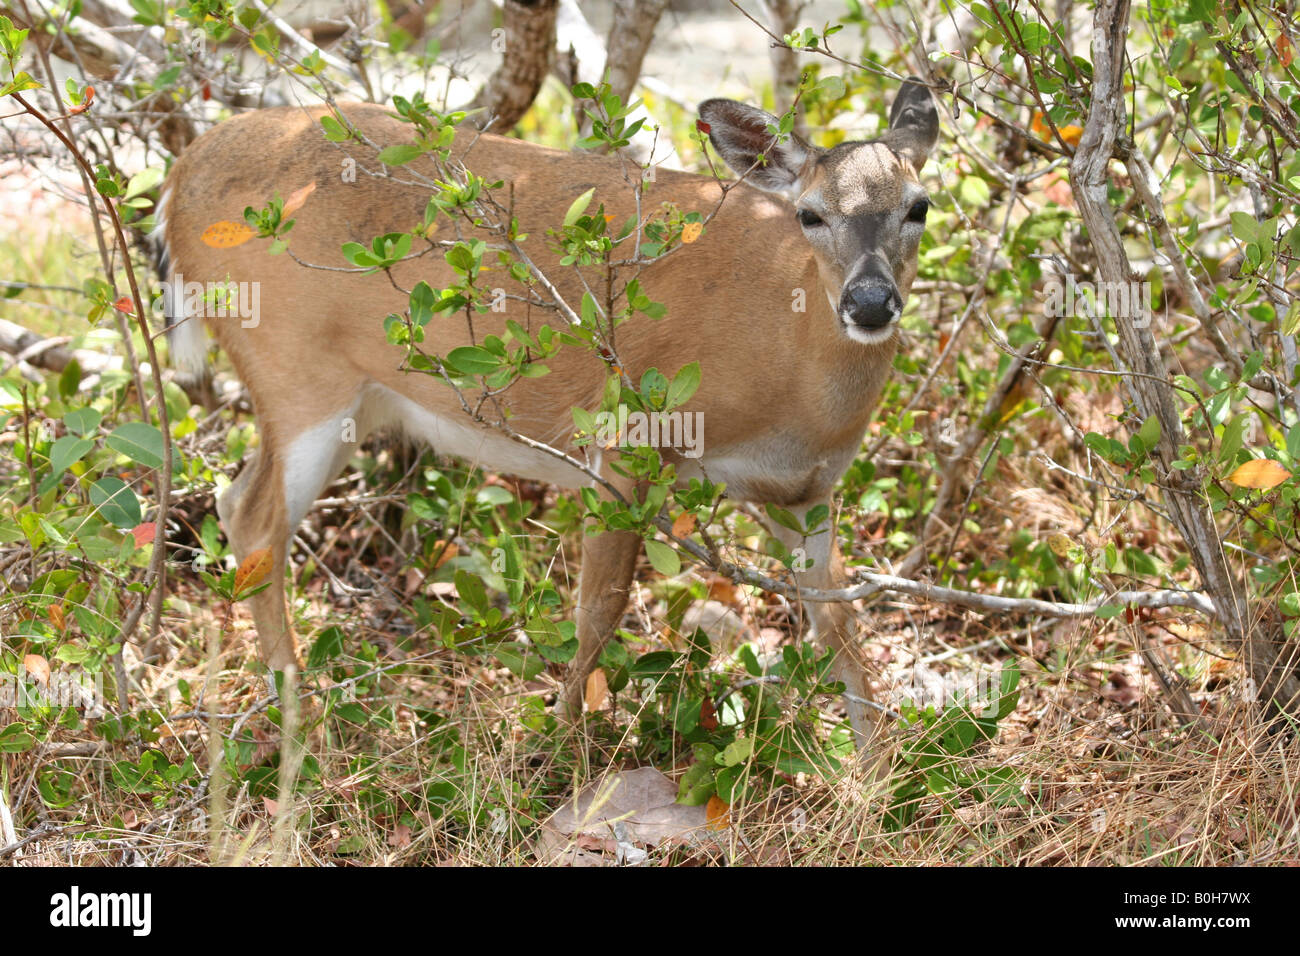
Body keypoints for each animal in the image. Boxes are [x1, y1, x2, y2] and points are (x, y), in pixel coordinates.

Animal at [155, 78, 939, 753]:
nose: (870, 303)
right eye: (810, 214)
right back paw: (303, 727)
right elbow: (600, 605)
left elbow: (838, 617)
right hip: (296, 371)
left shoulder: (805, 488)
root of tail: (175, 180)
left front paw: (874, 775)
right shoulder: (629, 434)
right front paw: (560, 745)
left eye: (919, 206)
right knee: (257, 516)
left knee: (235, 501)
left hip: (348, 396)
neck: (791, 364)